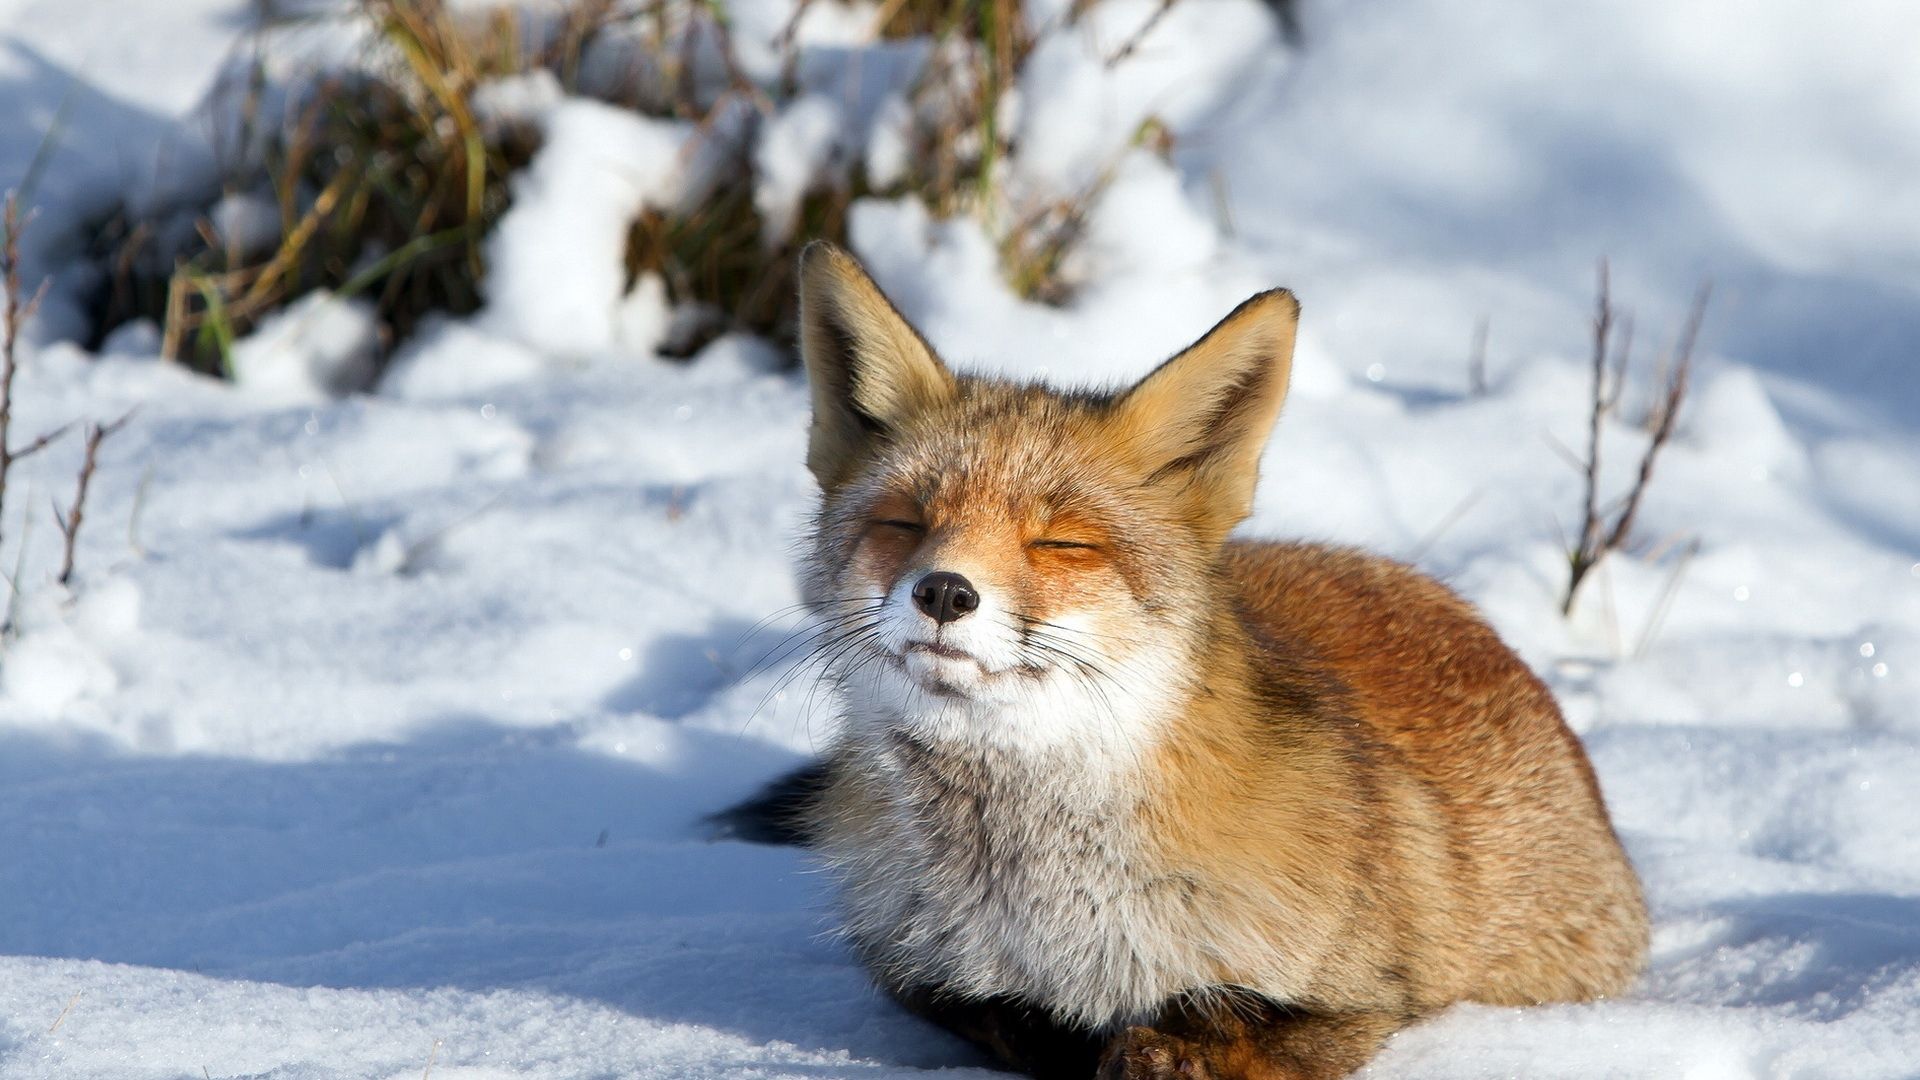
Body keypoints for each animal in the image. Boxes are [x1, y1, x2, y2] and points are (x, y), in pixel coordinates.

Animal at [731, 242, 1649, 1079]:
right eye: (905, 523)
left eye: (1062, 542)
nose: (945, 592)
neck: (1033, 903)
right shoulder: (918, 971)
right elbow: (1012, 1020)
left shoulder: (1371, 995)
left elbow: (1234, 1025)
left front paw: (1162, 1046)